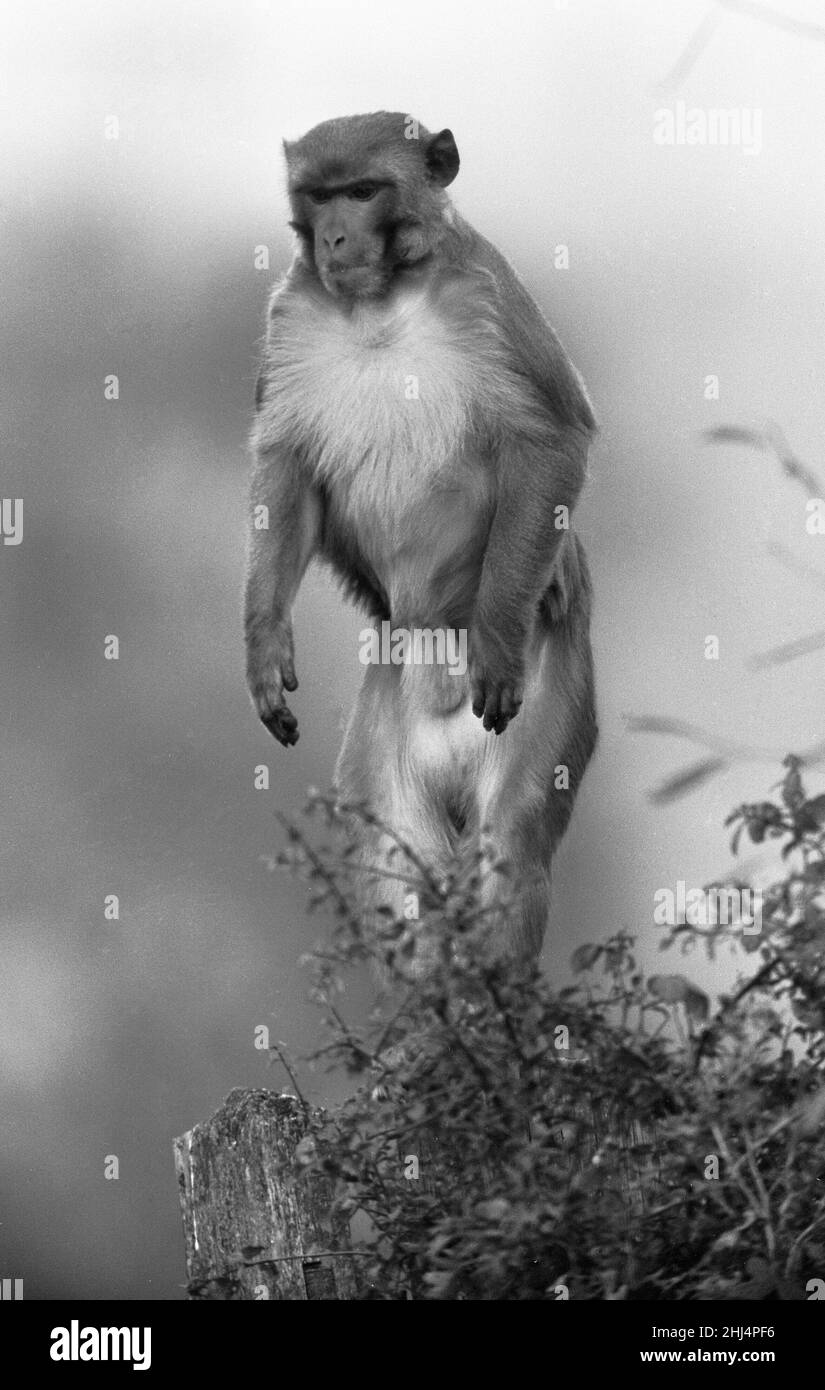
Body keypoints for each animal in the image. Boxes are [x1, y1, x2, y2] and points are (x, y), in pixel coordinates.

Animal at [245, 111, 597, 965]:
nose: (335, 239)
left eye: (364, 190)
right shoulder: (289, 314)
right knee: (397, 856)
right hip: (387, 723)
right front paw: (264, 645)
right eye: (321, 195)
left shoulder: (490, 296)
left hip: (550, 694)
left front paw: (496, 640)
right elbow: (288, 476)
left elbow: (550, 441)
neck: (380, 302)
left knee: (510, 841)